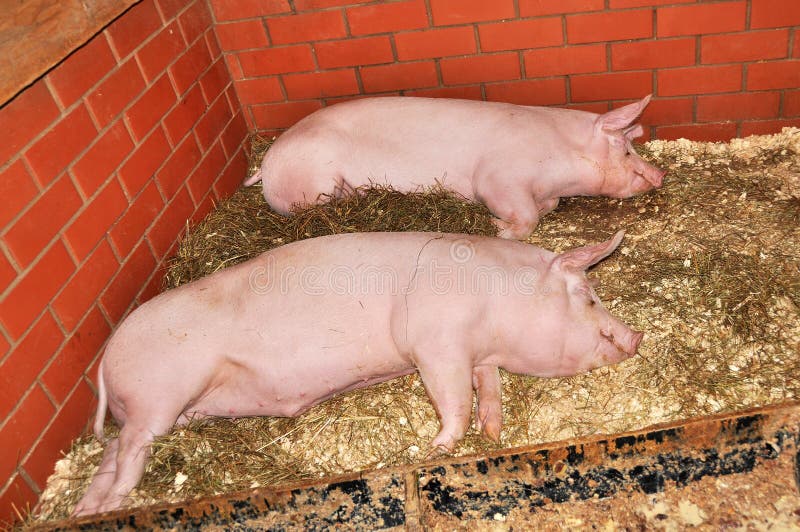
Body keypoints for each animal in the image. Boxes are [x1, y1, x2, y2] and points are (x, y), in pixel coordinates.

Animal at [73, 230, 643, 516]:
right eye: (587, 295)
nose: (635, 337)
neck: (497, 302)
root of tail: (104, 359)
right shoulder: (435, 347)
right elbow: (454, 400)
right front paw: (435, 448)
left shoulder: (478, 356)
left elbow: (490, 389)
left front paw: (493, 433)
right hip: (157, 398)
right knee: (131, 452)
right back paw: (115, 504)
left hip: (157, 413)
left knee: (111, 455)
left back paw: (87, 510)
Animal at [244, 95, 665, 239]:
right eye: (626, 151)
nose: (660, 175)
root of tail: (265, 165)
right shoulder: (497, 177)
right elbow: (526, 216)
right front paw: (495, 227)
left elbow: (547, 208)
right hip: (316, 181)